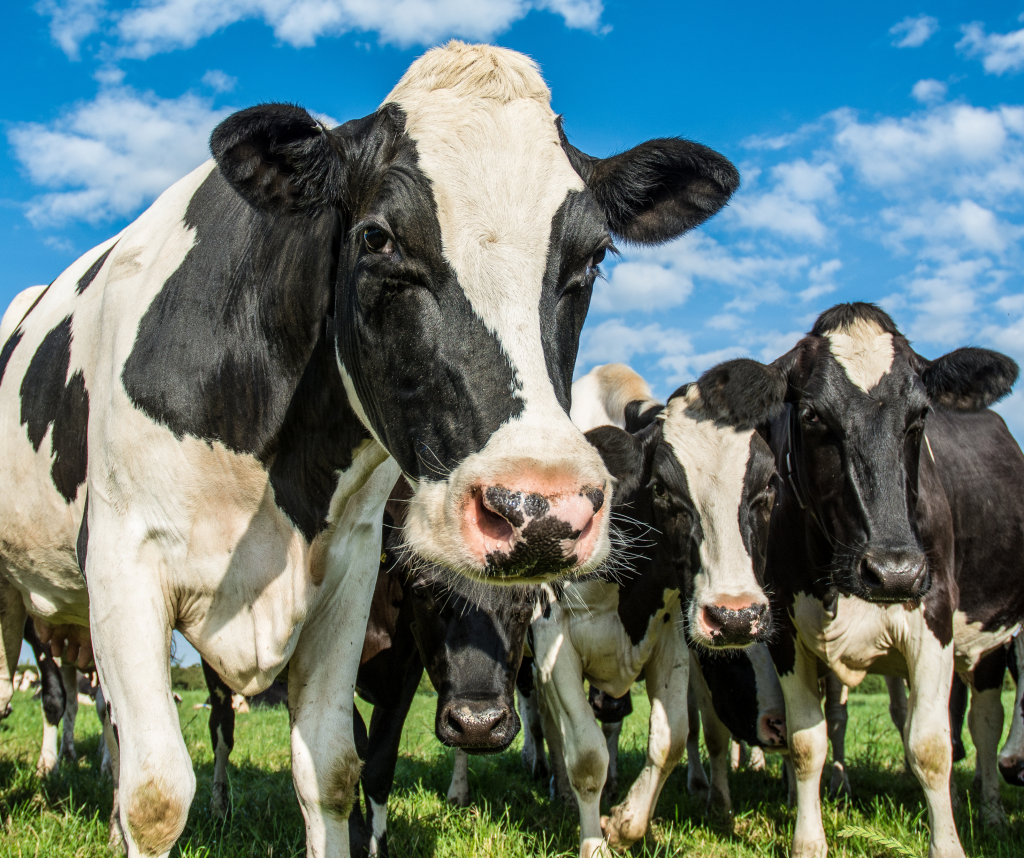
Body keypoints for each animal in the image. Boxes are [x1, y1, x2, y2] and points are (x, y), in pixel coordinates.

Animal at [0, 43, 738, 857]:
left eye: (596, 255)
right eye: (378, 237)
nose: (539, 511)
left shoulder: (347, 578)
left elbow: (331, 770)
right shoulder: (122, 561)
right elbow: (156, 793)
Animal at [529, 359, 785, 858]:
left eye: (768, 485)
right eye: (663, 489)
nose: (736, 617)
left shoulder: (671, 634)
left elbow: (671, 740)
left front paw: (624, 823)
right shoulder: (552, 638)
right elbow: (586, 756)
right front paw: (593, 843)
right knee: (551, 728)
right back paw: (561, 793)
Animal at [760, 302, 1021, 858]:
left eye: (919, 415)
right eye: (813, 415)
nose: (894, 571)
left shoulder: (935, 618)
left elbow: (932, 747)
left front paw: (948, 844)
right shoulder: (786, 633)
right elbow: (806, 742)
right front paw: (808, 840)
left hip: (991, 641)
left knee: (983, 724)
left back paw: (991, 811)